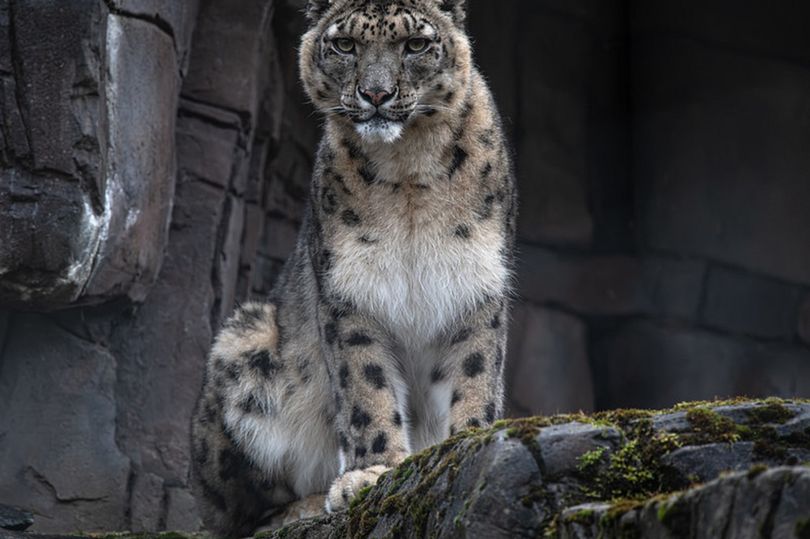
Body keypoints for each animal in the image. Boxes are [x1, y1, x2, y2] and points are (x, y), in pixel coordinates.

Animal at [189, 0, 516, 536]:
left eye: (416, 43)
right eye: (345, 44)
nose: (376, 94)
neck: (408, 169)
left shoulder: (475, 281)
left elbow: (475, 371)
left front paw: (468, 441)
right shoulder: (351, 293)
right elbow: (366, 384)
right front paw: (371, 473)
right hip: (244, 346)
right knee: (239, 514)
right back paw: (308, 503)